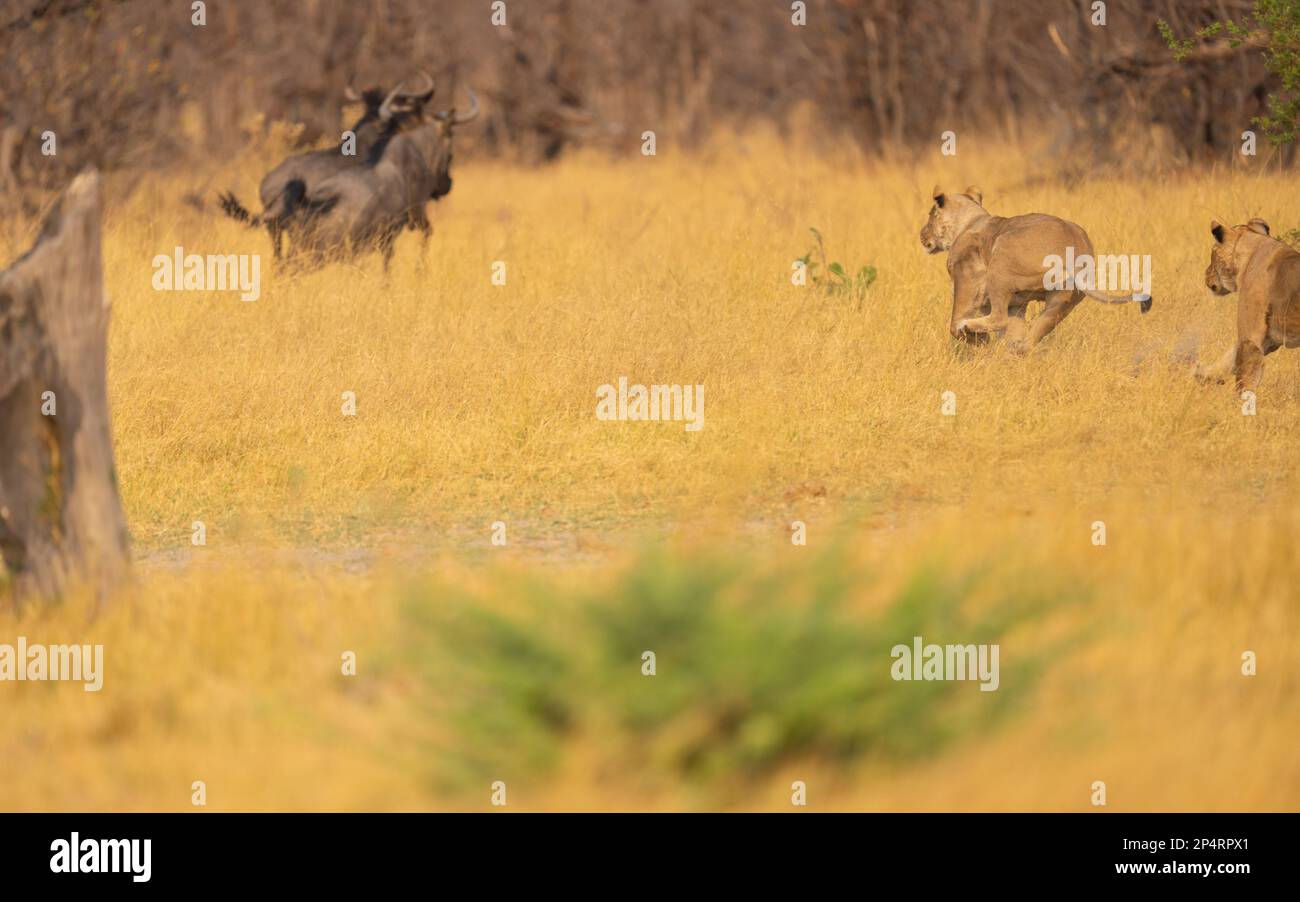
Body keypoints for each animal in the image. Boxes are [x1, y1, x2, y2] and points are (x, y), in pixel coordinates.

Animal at [919, 186, 1152, 353]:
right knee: (1029, 339)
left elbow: (955, 321)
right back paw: (1013, 351)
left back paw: (971, 327)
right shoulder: (1017, 304)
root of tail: (1074, 244)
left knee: (999, 318)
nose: (922, 235)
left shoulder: (965, 278)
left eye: (931, 215)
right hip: (1062, 301)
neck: (970, 221)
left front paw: (978, 339)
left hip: (1001, 257)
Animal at [1197, 218, 1300, 392]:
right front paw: (1203, 374)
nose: (1205, 274)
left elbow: (1244, 378)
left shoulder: (1251, 338)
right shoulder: (1269, 339)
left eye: (1212, 253)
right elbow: (1229, 358)